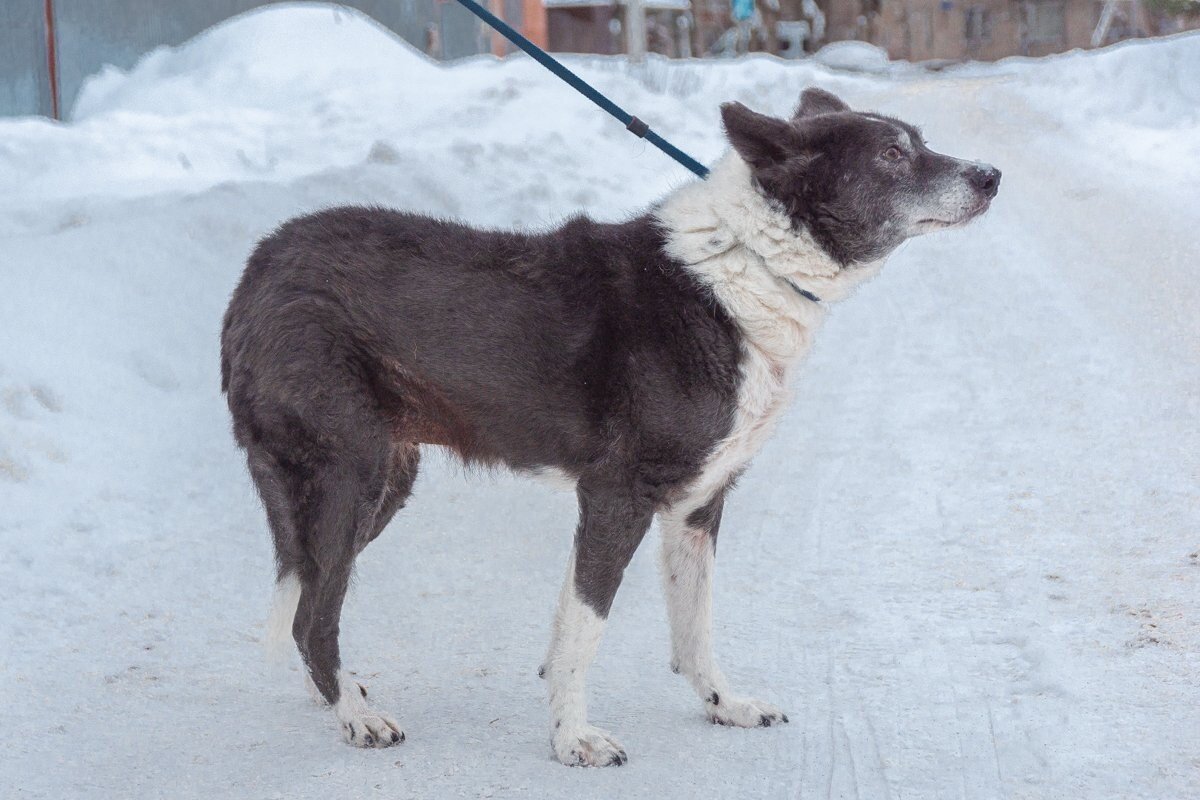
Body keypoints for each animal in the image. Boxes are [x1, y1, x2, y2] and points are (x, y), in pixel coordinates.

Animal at [220, 84, 998, 767]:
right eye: (892, 154)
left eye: (921, 141)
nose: (992, 175)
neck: (748, 263)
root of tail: (259, 266)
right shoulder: (617, 496)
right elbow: (584, 632)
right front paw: (572, 742)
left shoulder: (696, 506)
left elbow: (690, 626)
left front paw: (724, 706)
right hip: (352, 473)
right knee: (314, 611)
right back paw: (356, 715)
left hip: (382, 480)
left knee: (309, 600)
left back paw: (338, 696)